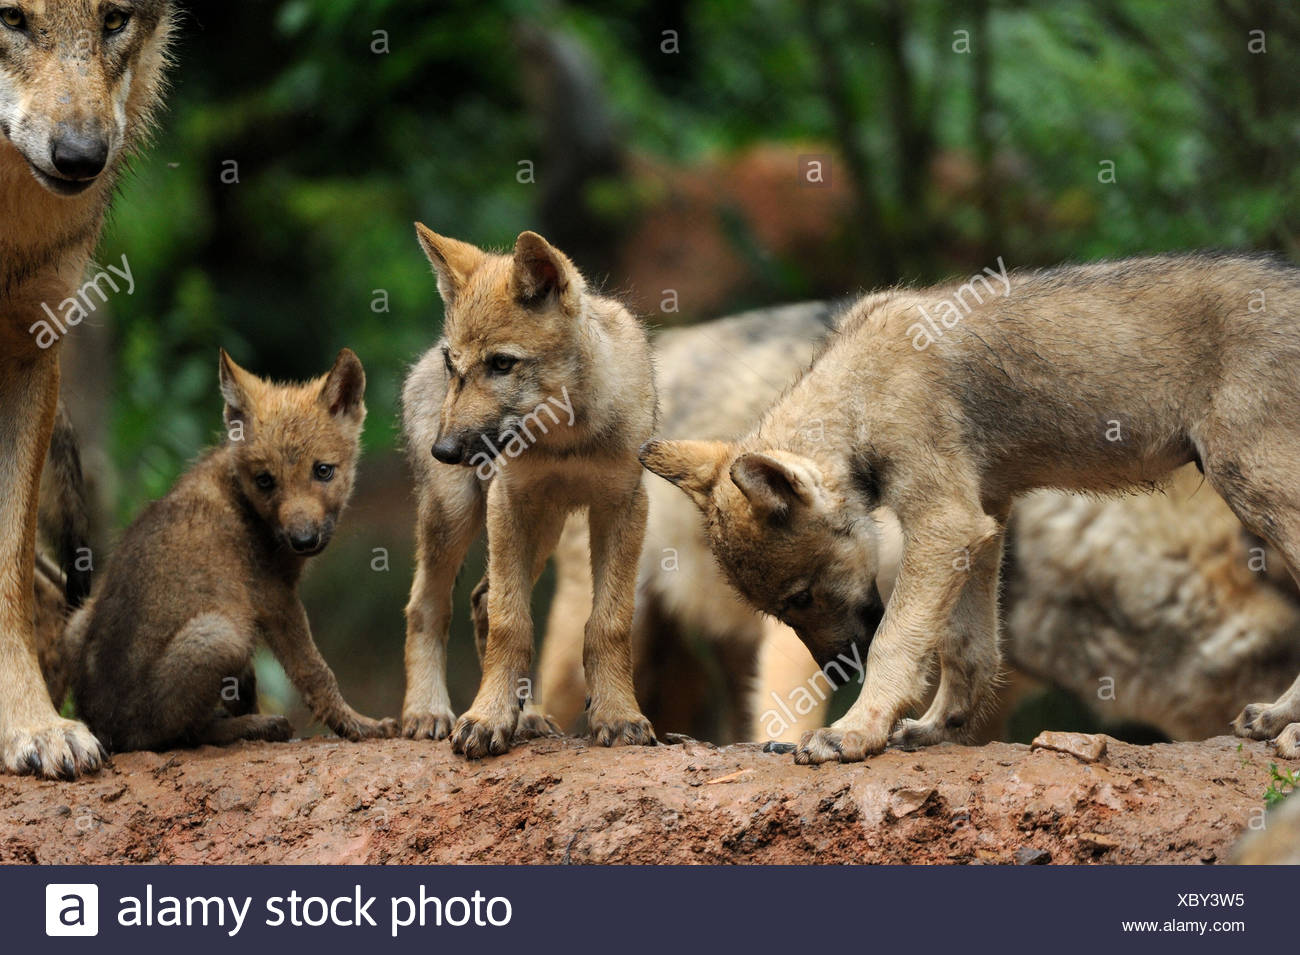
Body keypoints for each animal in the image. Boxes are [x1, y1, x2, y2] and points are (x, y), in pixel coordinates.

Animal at [62, 349, 397, 752]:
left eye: (323, 471)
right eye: (265, 480)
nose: (302, 540)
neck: (242, 496)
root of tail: (105, 730)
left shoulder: (252, 608)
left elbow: (248, 686)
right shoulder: (274, 600)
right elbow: (316, 672)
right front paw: (359, 725)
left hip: (78, 621)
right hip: (223, 634)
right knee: (185, 735)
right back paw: (259, 727)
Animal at [401, 225, 655, 758]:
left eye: (502, 364)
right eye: (456, 367)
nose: (444, 449)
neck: (565, 440)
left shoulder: (623, 507)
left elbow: (609, 623)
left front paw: (617, 715)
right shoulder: (508, 502)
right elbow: (511, 625)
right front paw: (487, 718)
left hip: (546, 529)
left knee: (479, 598)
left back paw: (530, 716)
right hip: (457, 517)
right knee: (427, 607)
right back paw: (427, 712)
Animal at [642, 254, 1300, 762]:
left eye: (799, 598)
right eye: (782, 608)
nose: (835, 669)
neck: (863, 393)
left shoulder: (945, 525)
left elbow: (897, 641)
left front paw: (853, 733)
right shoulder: (982, 522)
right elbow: (967, 648)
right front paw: (936, 728)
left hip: (1251, 488)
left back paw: (1283, 726)